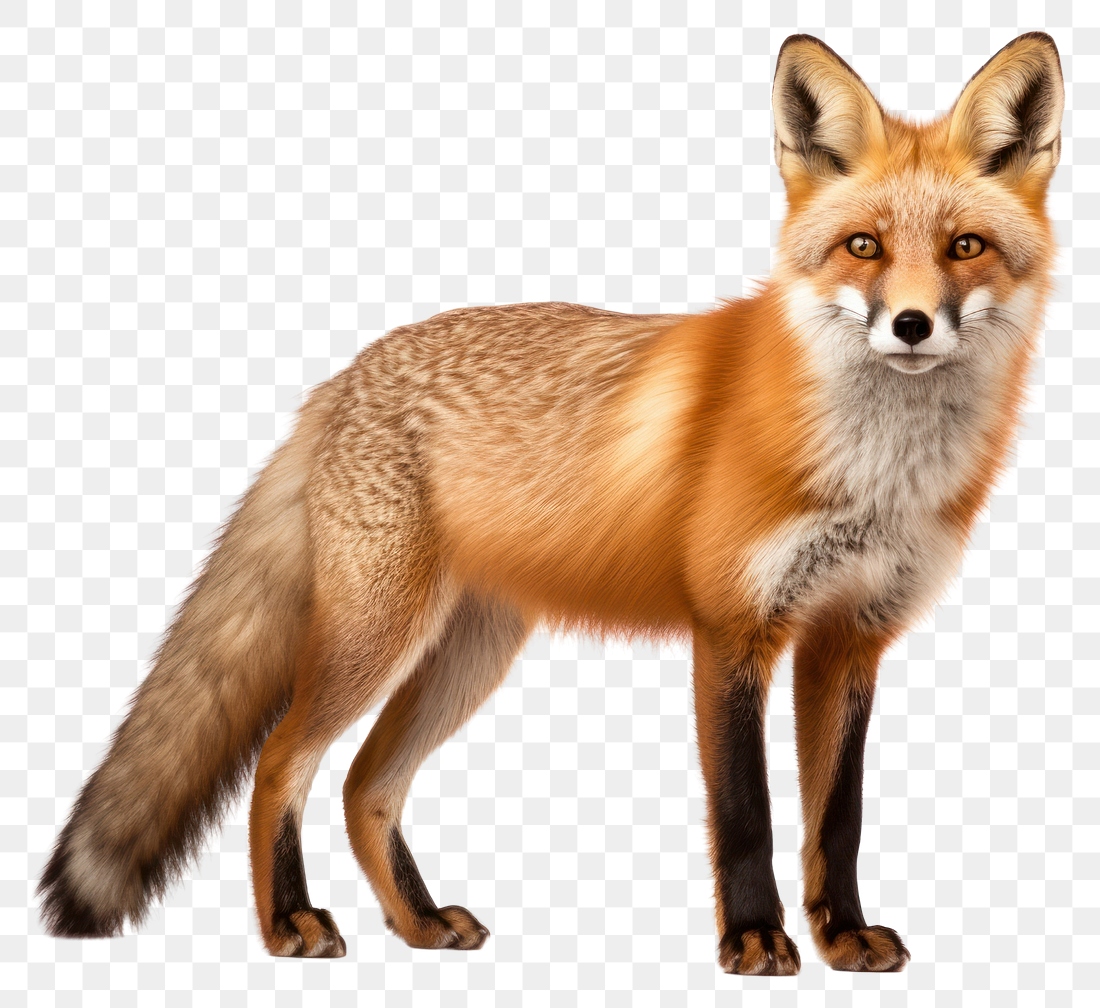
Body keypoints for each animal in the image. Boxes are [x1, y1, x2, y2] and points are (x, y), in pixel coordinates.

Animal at [38, 33, 1063, 976]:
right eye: (864, 247)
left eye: (965, 247)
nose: (912, 325)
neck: (875, 475)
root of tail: (342, 380)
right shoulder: (733, 629)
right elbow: (749, 813)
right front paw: (754, 938)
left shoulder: (851, 637)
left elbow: (835, 817)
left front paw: (841, 934)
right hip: (380, 634)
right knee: (283, 760)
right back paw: (290, 920)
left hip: (469, 653)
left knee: (367, 785)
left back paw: (419, 924)